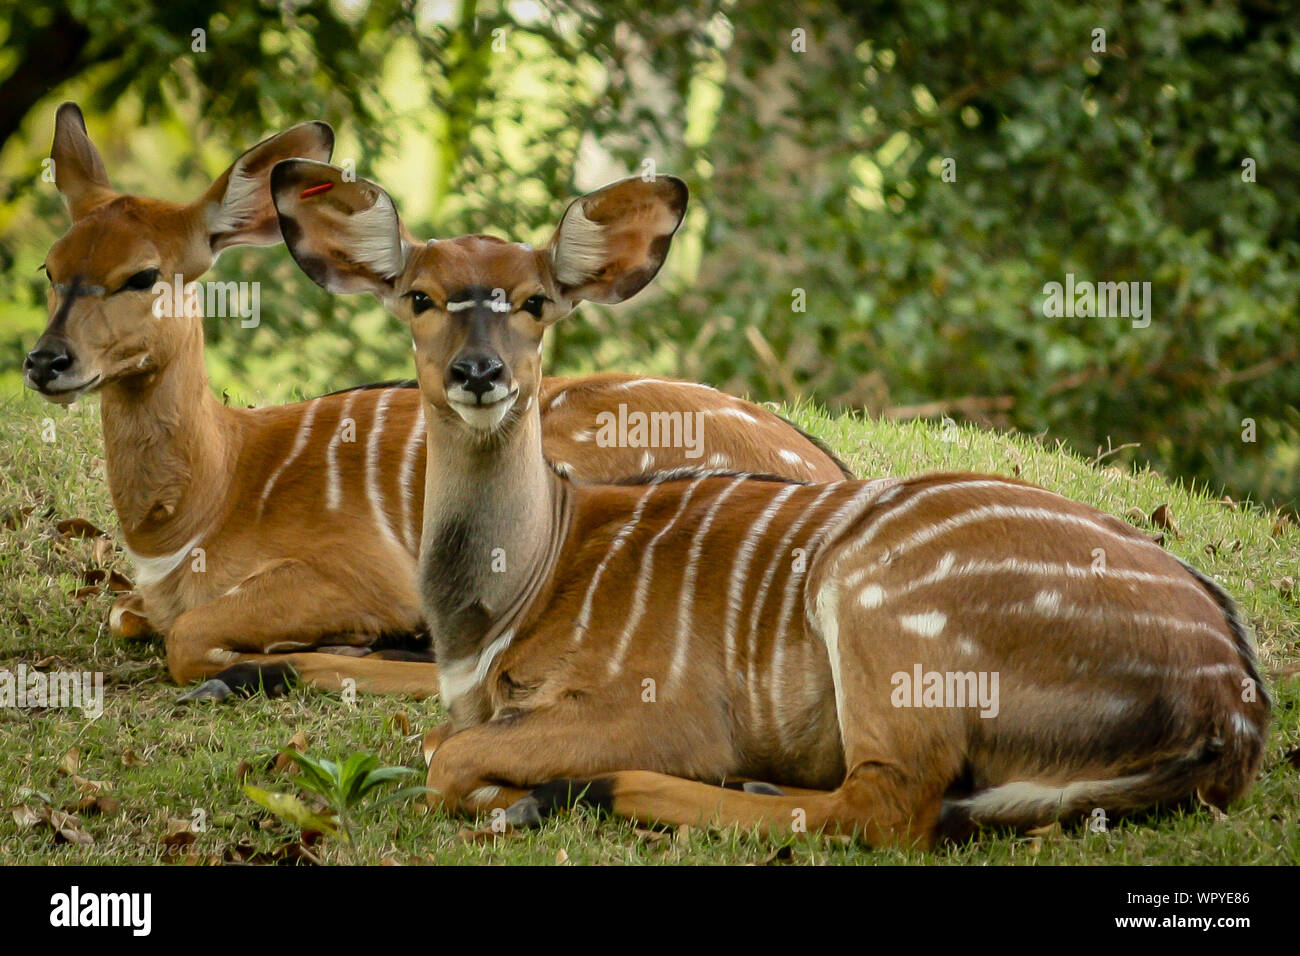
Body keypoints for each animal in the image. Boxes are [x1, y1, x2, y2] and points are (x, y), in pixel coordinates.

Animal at [24, 103, 850, 702]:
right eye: (50, 268)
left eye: (142, 275)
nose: (44, 361)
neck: (203, 508)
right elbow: (126, 614)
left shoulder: (357, 574)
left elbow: (189, 638)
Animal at [271, 158, 1270, 846]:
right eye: (418, 296)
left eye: (536, 301)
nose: (479, 372)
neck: (509, 605)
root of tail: (1235, 710)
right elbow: (439, 744)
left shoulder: (662, 706)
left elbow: (449, 757)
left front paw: (521, 798)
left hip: (880, 617)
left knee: (886, 807)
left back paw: (619, 791)